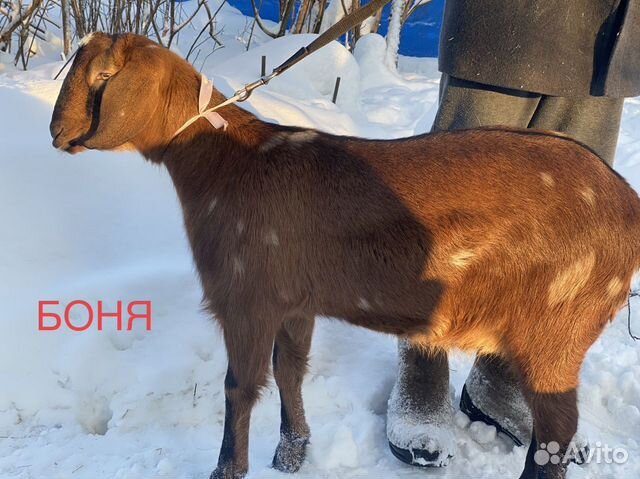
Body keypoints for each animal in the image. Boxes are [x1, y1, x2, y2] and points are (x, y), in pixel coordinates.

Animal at [50, 33, 640, 479]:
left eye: (101, 75)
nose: (56, 133)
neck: (222, 163)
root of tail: (629, 208)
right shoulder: (295, 301)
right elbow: (289, 370)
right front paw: (291, 453)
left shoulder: (246, 296)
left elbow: (239, 388)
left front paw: (227, 471)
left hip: (558, 328)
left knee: (556, 432)